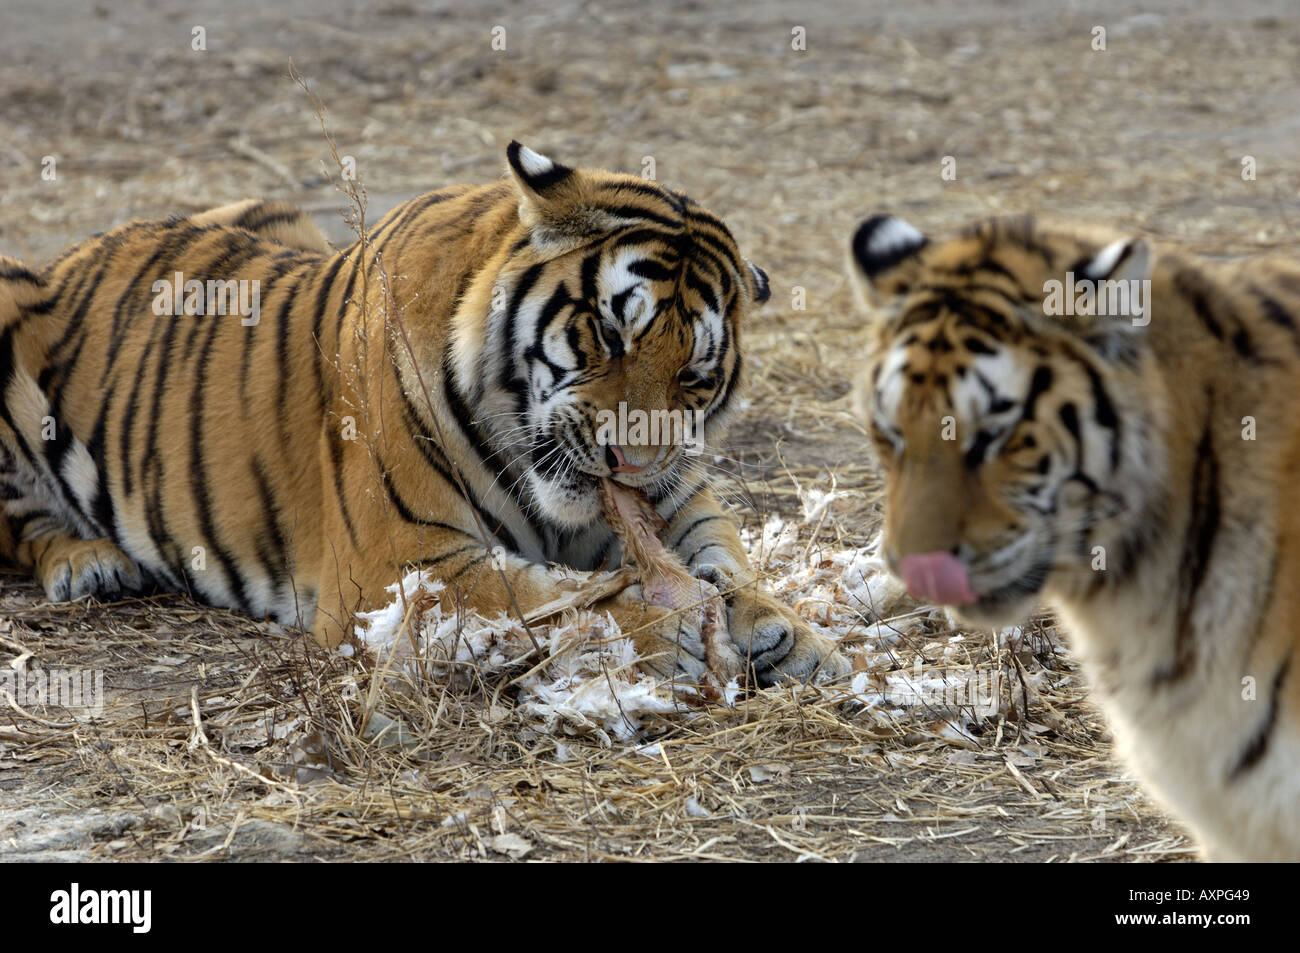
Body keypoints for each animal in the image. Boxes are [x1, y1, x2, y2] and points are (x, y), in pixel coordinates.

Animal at [0, 142, 847, 687]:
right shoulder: (395, 560)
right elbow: (534, 597)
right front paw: (663, 629)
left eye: (694, 377)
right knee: (19, 521)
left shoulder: (673, 494)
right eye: (610, 333)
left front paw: (789, 632)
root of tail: (72, 252)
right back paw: (89, 561)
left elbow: (720, 556)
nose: (630, 464)